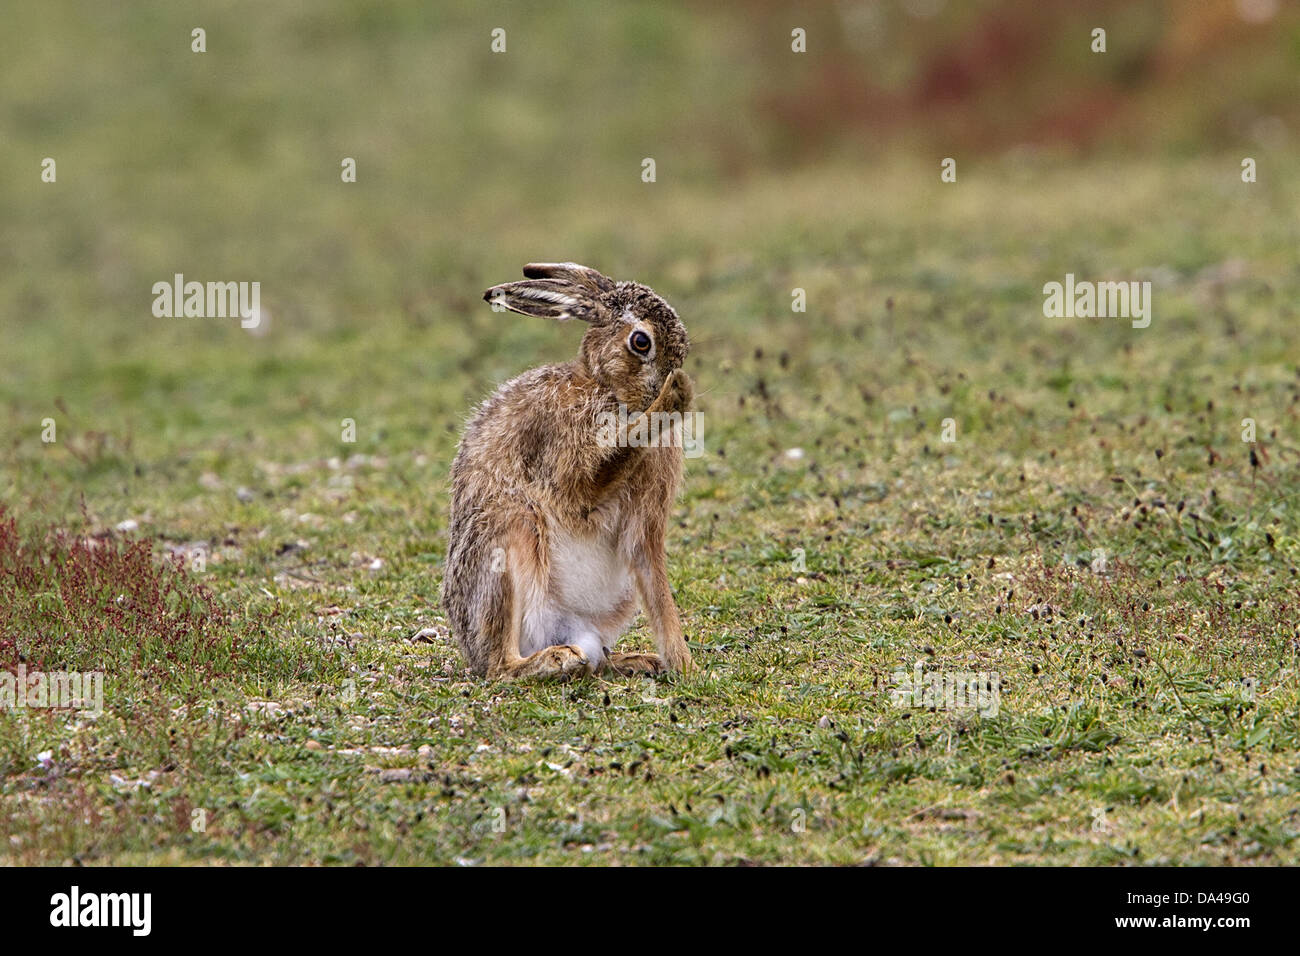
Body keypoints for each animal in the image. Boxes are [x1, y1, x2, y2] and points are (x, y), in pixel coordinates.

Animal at [441, 262, 696, 680]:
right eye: (641, 342)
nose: (674, 378)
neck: (608, 389)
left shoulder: (646, 531)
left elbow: (659, 594)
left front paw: (686, 666)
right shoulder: (564, 459)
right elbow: (594, 477)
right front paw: (674, 396)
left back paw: (633, 660)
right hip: (506, 537)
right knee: (499, 667)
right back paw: (556, 659)